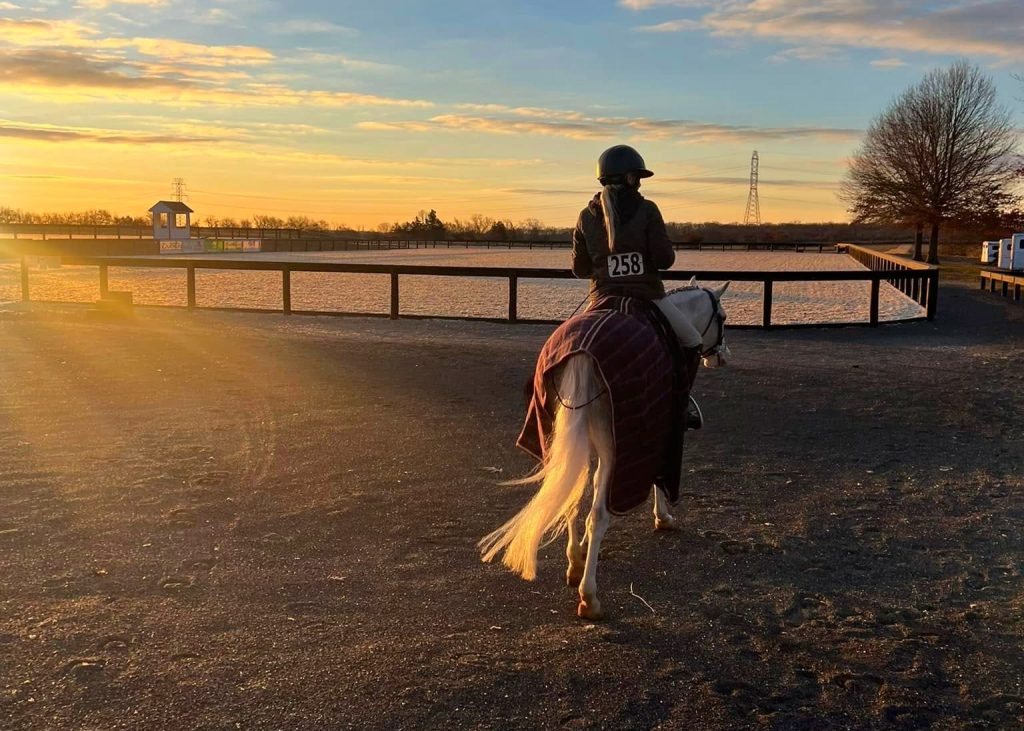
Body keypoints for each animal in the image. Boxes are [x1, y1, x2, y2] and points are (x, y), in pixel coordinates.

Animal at [479, 278, 729, 620]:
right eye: (723, 318)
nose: (721, 356)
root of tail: (583, 351)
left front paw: (583, 549)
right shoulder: (657, 429)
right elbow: (654, 475)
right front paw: (663, 516)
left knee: (572, 495)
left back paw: (575, 564)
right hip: (614, 445)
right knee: (598, 514)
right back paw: (590, 597)